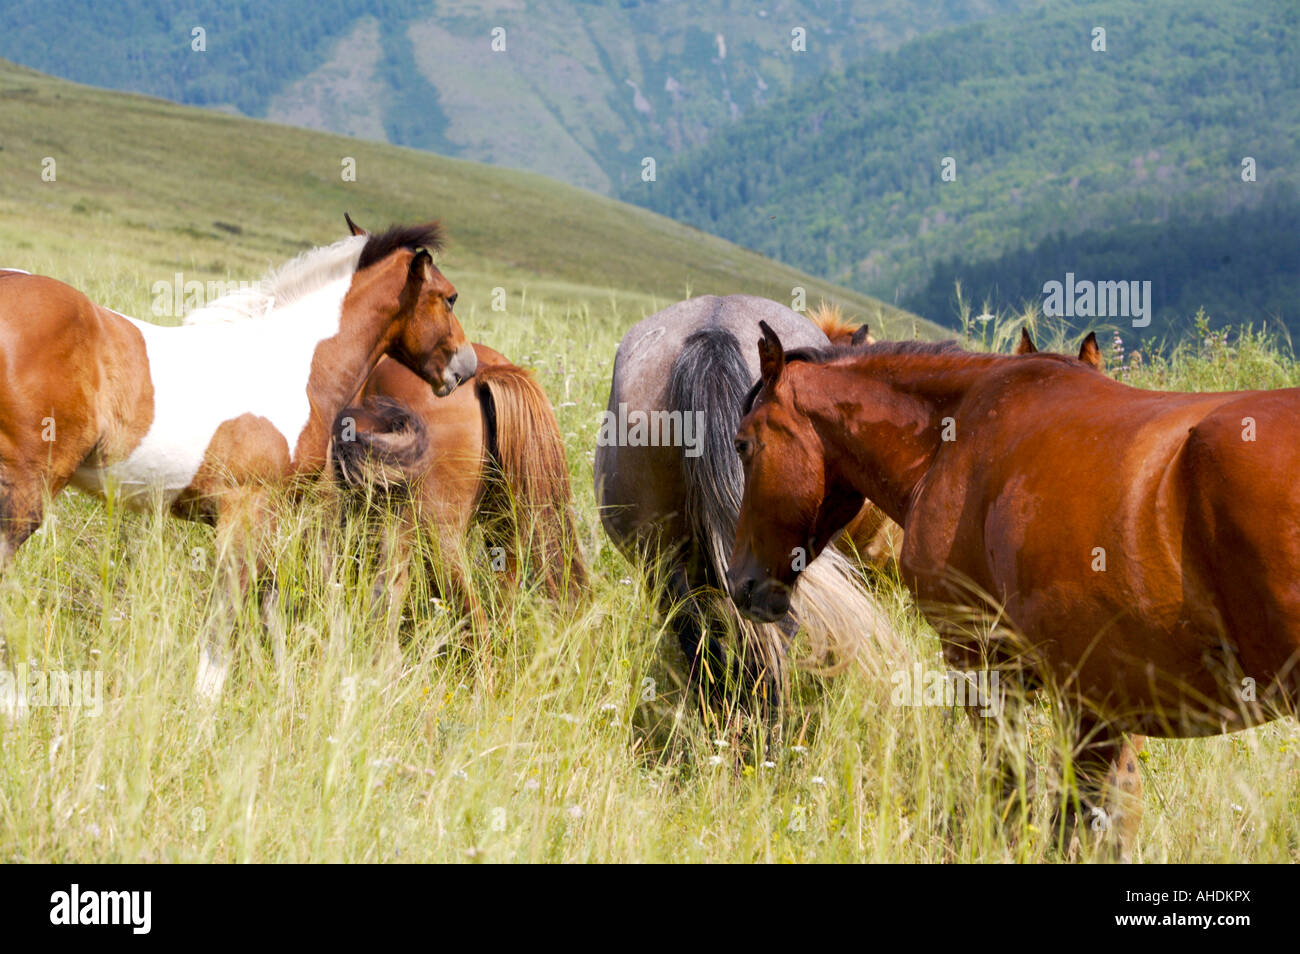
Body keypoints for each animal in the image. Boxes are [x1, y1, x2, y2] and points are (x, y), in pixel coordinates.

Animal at [0, 221, 477, 694]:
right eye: (449, 296)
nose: (466, 367)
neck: (292, 367)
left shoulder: (271, 518)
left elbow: (270, 605)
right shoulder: (245, 510)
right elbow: (226, 613)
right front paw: (206, 699)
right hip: (29, 488)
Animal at [727, 322, 1300, 857]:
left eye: (743, 445)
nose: (742, 584)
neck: (953, 440)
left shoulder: (983, 660)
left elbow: (1013, 789)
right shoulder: (1101, 697)